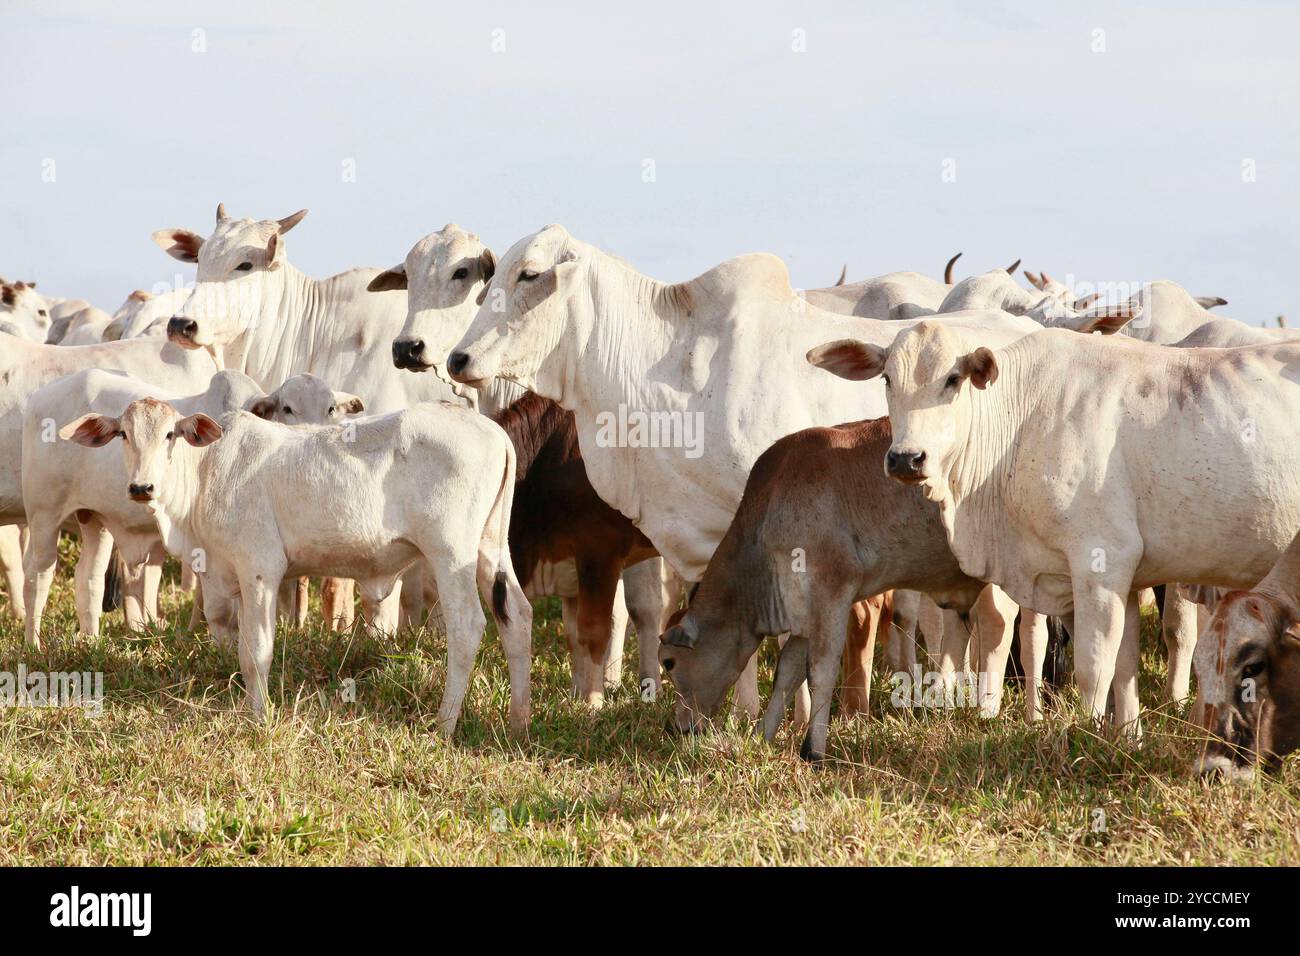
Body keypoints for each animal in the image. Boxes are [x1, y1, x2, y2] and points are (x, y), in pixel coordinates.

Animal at [64, 397, 532, 734]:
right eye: (124, 434)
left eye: (169, 435)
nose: (141, 487)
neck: (206, 472)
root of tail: (493, 431)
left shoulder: (259, 569)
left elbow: (255, 650)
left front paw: (259, 717)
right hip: (491, 549)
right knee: (516, 615)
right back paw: (518, 723)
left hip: (451, 555)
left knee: (468, 625)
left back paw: (445, 724)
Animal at [446, 224, 1043, 717]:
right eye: (491, 274)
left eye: (529, 274)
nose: (456, 359)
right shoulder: (711, 535)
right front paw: (742, 716)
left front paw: (795, 717)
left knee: (998, 619)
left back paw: (990, 710)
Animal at [658, 417, 1051, 760]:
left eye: (669, 662)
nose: (676, 728)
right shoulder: (802, 611)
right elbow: (787, 673)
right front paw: (762, 736)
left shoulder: (830, 592)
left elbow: (821, 670)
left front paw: (813, 749)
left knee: (1017, 627)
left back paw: (1020, 712)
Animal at [809, 321, 1300, 731]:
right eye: (887, 378)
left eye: (952, 379)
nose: (906, 458)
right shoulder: (1123, 578)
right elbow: (1125, 667)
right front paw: (1127, 738)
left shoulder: (1101, 562)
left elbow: (1094, 666)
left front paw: (1087, 735)